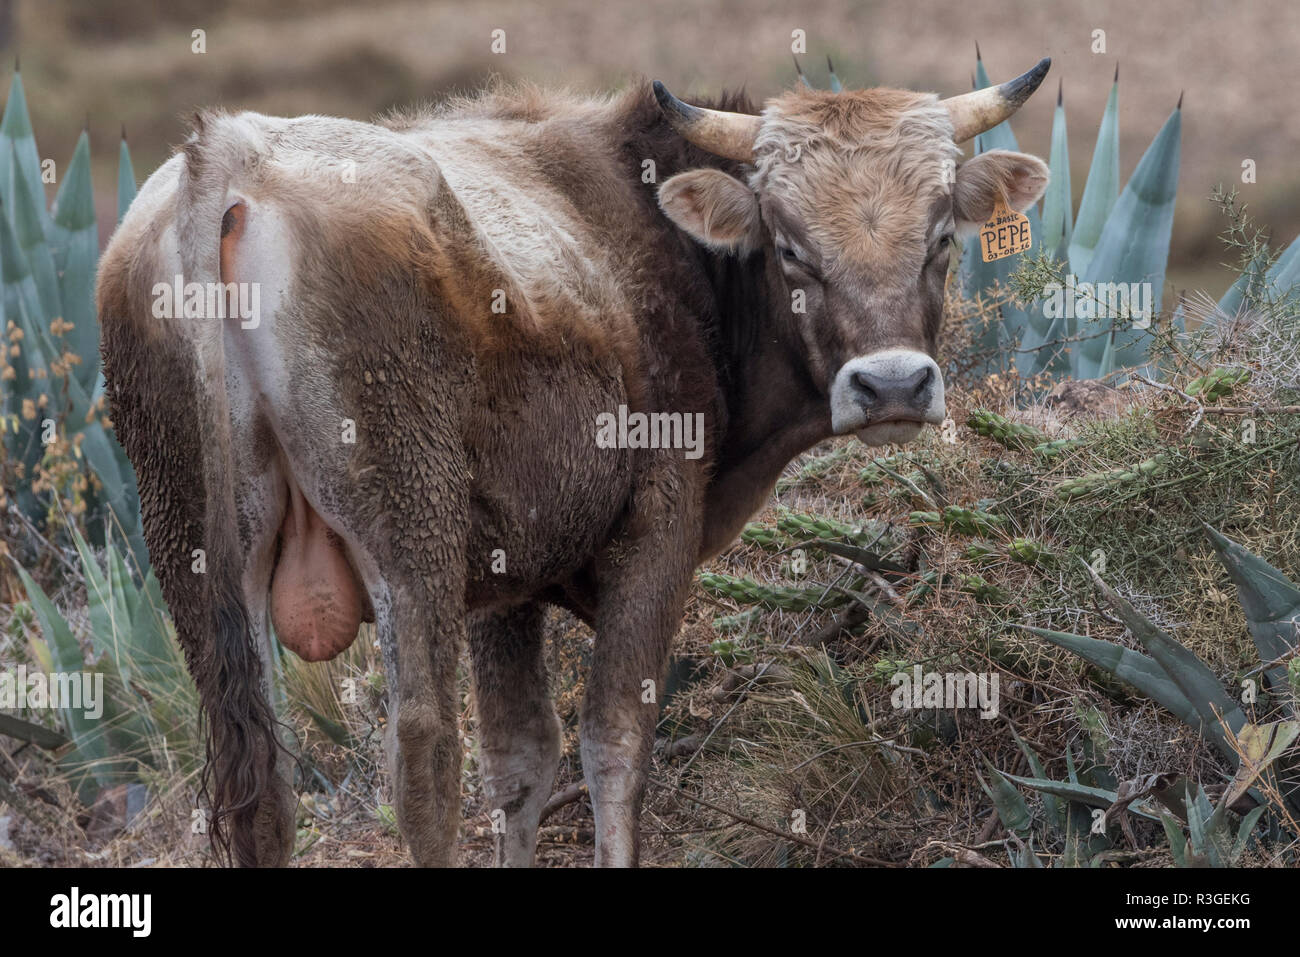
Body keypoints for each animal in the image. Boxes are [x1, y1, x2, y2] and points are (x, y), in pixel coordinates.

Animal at [96, 58, 1050, 867]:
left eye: (942, 236)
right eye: (789, 245)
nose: (891, 384)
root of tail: (231, 156)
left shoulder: (503, 585)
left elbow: (521, 762)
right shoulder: (655, 536)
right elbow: (611, 746)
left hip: (200, 564)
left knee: (261, 791)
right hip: (410, 541)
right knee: (425, 759)